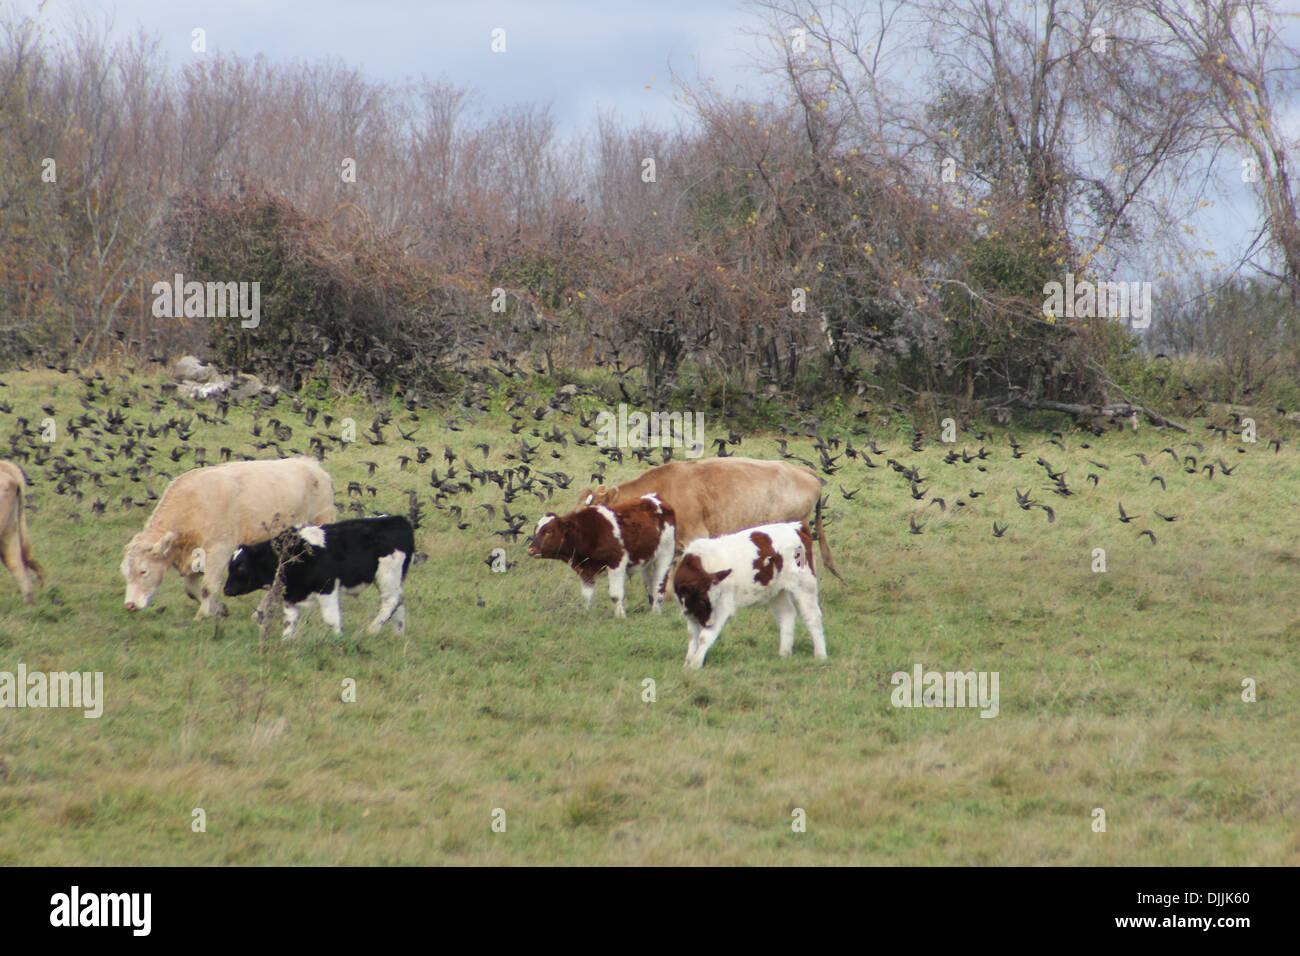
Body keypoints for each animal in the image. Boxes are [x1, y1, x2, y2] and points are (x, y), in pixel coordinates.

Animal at [121, 457, 335, 618]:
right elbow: (191, 589)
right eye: (125, 573)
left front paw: (202, 616)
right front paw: (218, 609)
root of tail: (310, 463)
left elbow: (207, 587)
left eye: (143, 571)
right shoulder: (195, 556)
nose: (130, 605)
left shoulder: (219, 550)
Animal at [223, 516, 415, 640]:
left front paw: (338, 639)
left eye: (241, 566)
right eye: (230, 565)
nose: (226, 590)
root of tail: (398, 519)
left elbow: (331, 618)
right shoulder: (292, 594)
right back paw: (398, 634)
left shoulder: (327, 587)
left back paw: (373, 629)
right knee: (399, 602)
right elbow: (289, 621)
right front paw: (286, 641)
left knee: (391, 601)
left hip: (388, 575)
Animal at [529, 493, 676, 618]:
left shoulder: (616, 563)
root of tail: (656, 499)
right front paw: (586, 614)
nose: (531, 549)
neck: (589, 532)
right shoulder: (585, 570)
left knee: (659, 585)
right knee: (650, 586)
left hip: (665, 556)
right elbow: (587, 596)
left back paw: (656, 612)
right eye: (536, 530)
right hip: (648, 561)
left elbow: (615, 594)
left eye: (549, 531)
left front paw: (620, 615)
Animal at [673, 521, 828, 669]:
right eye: (702, 601)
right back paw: (784, 654)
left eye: (716, 598)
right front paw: (688, 662)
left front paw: (696, 663)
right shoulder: (691, 611)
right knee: (787, 614)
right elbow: (692, 636)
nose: (709, 623)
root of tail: (797, 527)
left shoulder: (723, 606)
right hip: (777, 591)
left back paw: (820, 655)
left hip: (805, 584)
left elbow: (704, 636)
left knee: (812, 616)